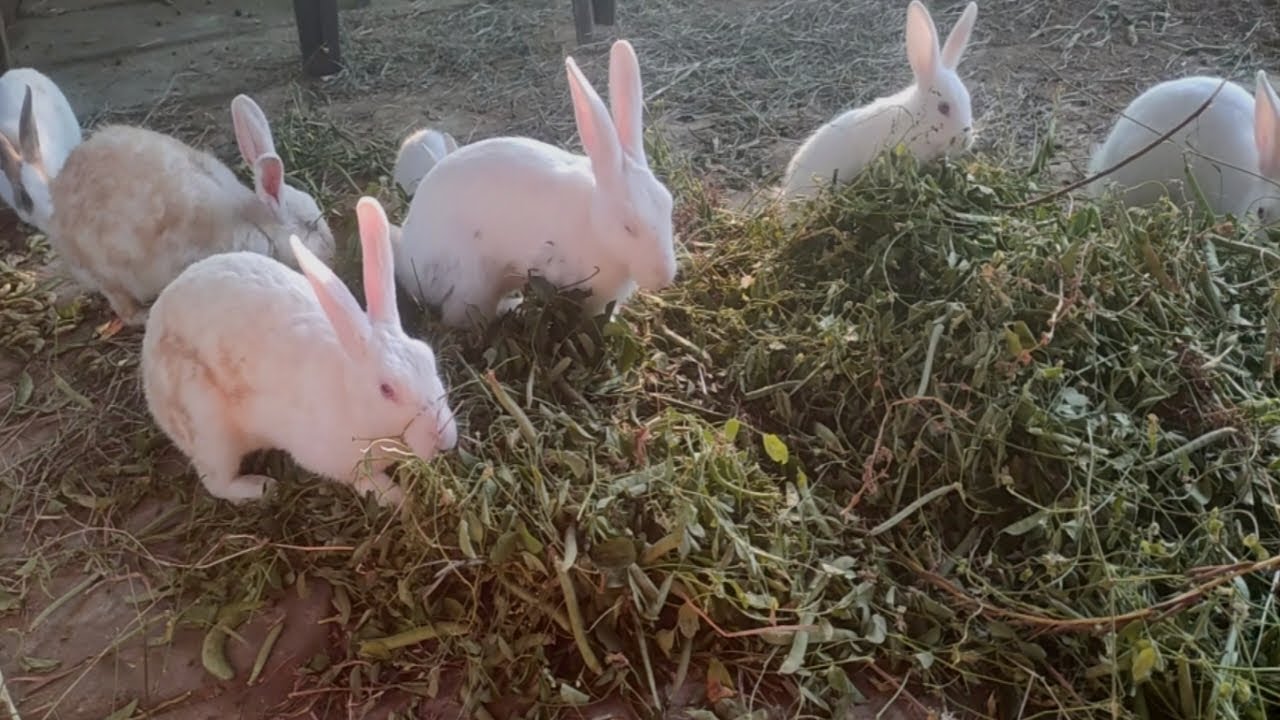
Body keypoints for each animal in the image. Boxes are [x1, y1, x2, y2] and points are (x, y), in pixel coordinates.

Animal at [31, 93, 334, 330]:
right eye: (311, 224)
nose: (332, 248)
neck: (257, 224)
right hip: (109, 273)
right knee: (122, 306)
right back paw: (142, 315)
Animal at [140, 195, 458, 506]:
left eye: (429, 358)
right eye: (387, 389)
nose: (445, 439)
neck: (352, 398)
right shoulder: (339, 462)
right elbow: (366, 483)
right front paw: (398, 497)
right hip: (210, 429)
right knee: (216, 482)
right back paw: (261, 486)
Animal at [395, 38, 676, 328]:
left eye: (669, 206)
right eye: (628, 226)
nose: (664, 277)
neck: (595, 226)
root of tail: (408, 255)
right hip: (472, 282)